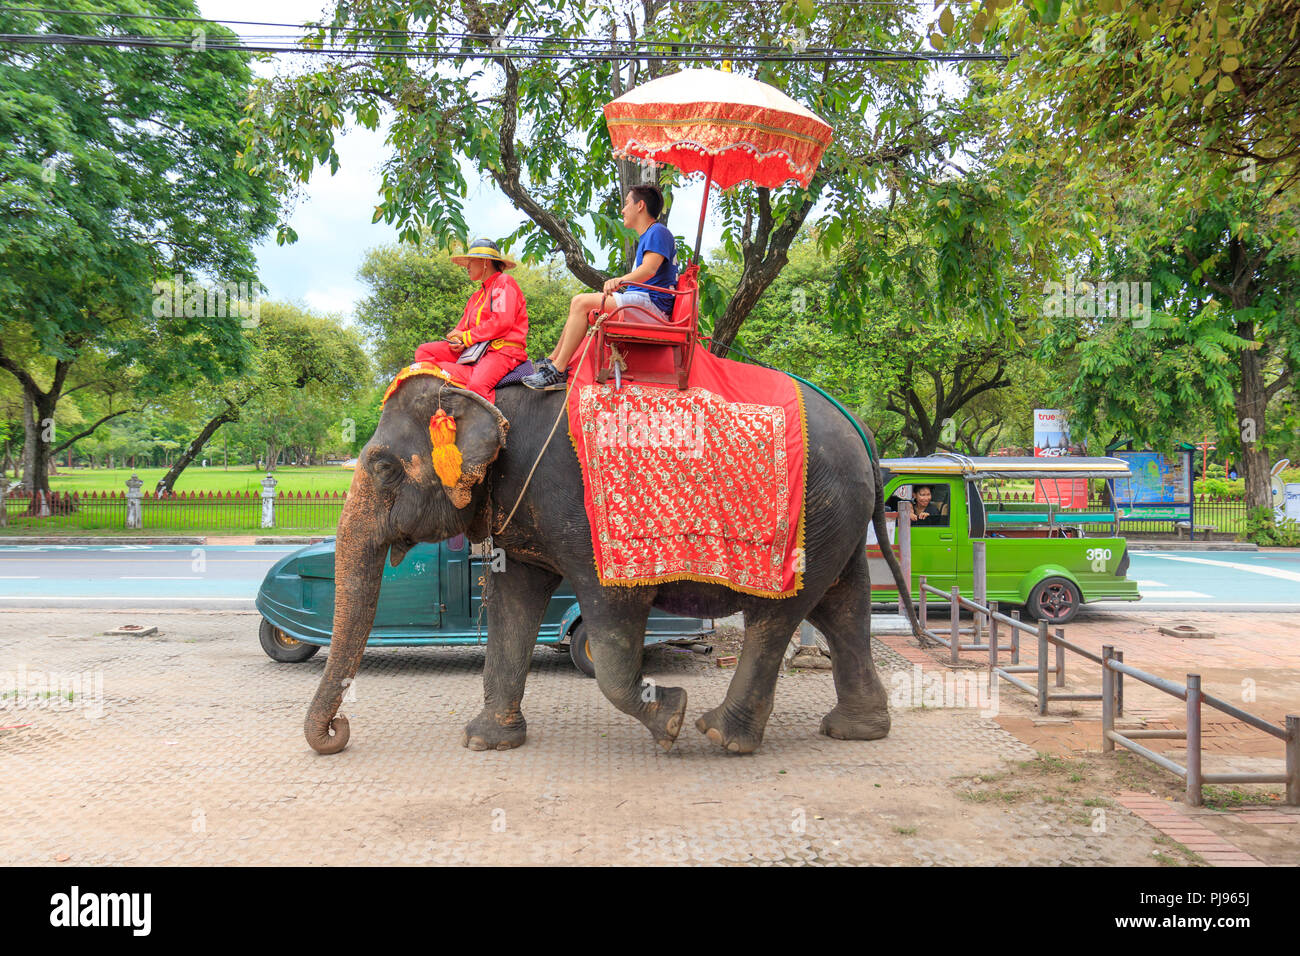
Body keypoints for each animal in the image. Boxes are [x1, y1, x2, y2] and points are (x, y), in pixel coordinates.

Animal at [305, 375, 918, 756]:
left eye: (383, 468)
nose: (339, 729)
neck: (488, 391)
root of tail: (862, 433)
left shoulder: (580, 515)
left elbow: (610, 623)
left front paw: (671, 719)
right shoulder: (523, 512)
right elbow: (513, 603)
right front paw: (484, 741)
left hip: (810, 521)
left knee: (777, 616)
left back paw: (719, 734)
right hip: (838, 519)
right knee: (843, 607)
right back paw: (855, 730)